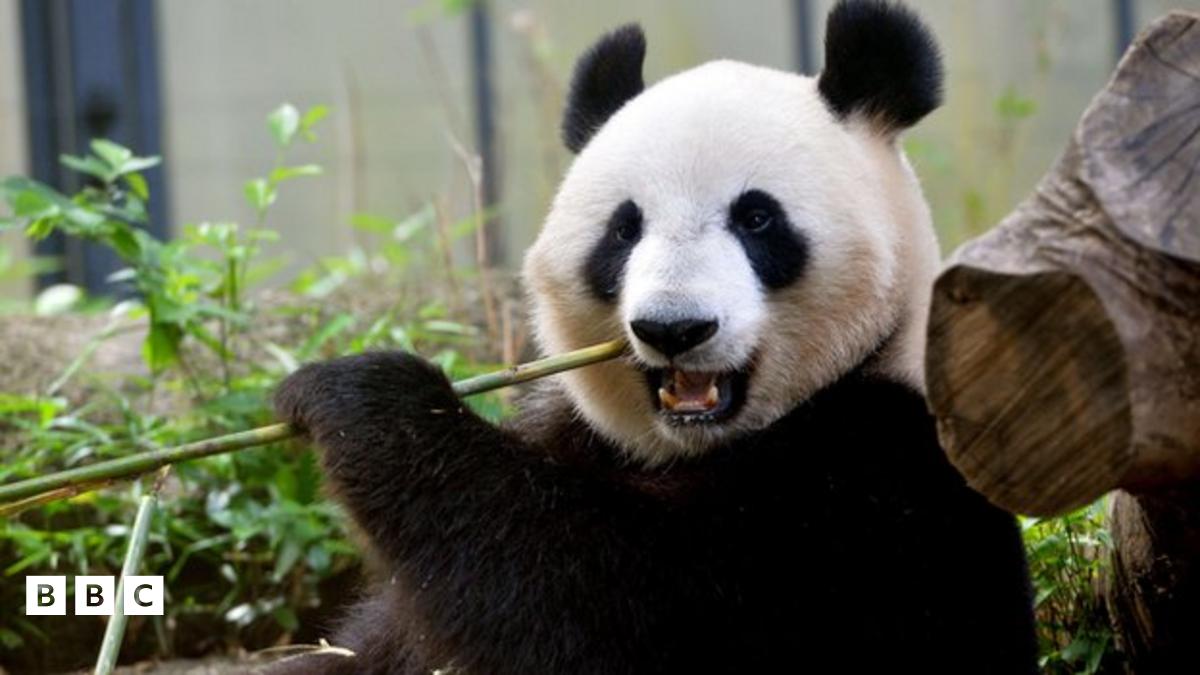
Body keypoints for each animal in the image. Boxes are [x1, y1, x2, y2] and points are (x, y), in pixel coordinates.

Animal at [271, 1, 1037, 673]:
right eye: (623, 228)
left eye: (757, 219)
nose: (675, 327)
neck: (691, 447)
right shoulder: (581, 432)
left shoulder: (872, 485)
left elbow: (610, 606)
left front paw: (363, 397)